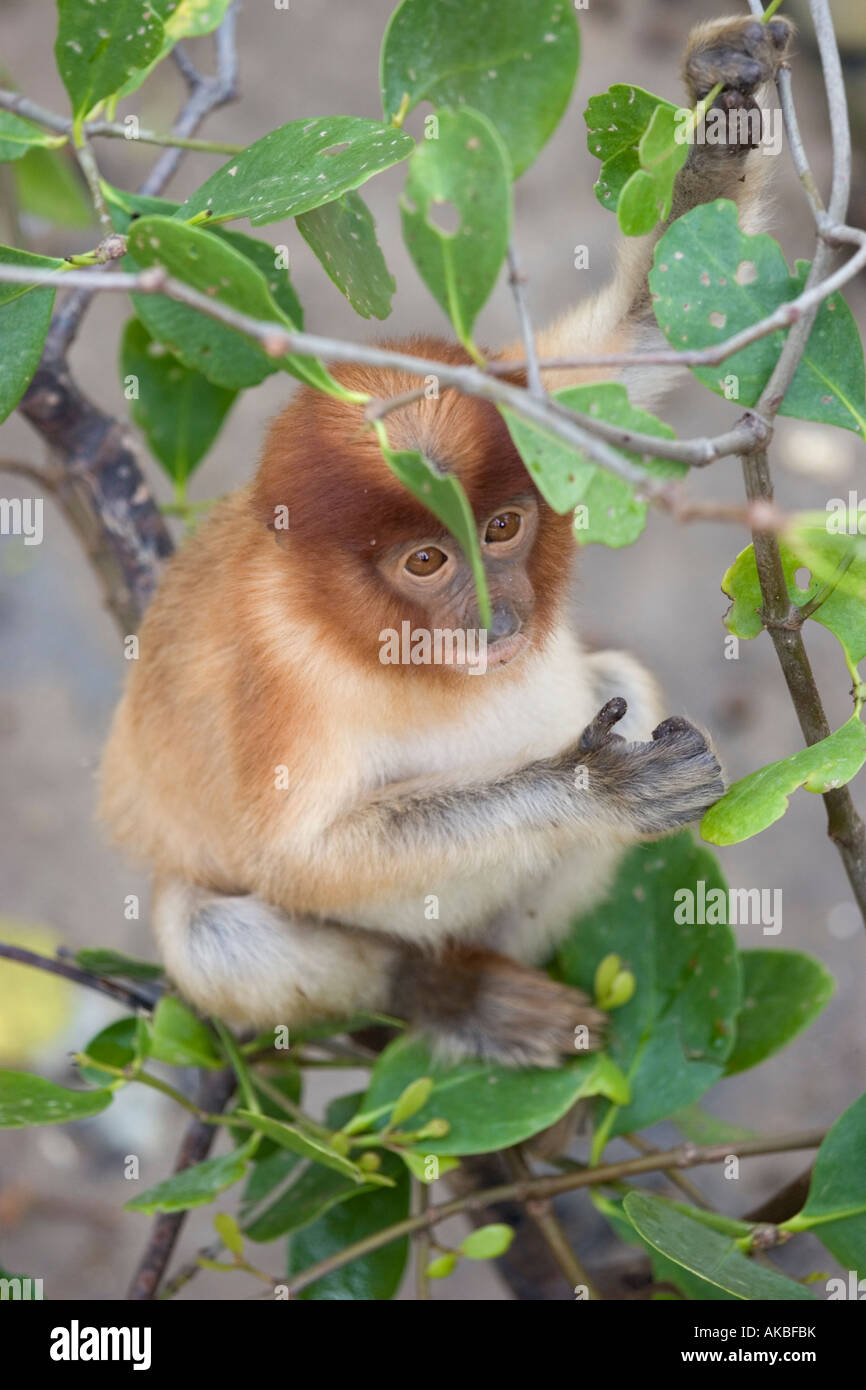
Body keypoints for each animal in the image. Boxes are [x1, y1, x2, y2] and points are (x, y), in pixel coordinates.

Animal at [99, 15, 793, 1067]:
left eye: (502, 528)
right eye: (426, 561)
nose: (501, 616)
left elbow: (642, 336)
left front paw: (728, 89)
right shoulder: (275, 662)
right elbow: (300, 857)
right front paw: (592, 785)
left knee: (618, 681)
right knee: (211, 927)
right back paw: (449, 995)